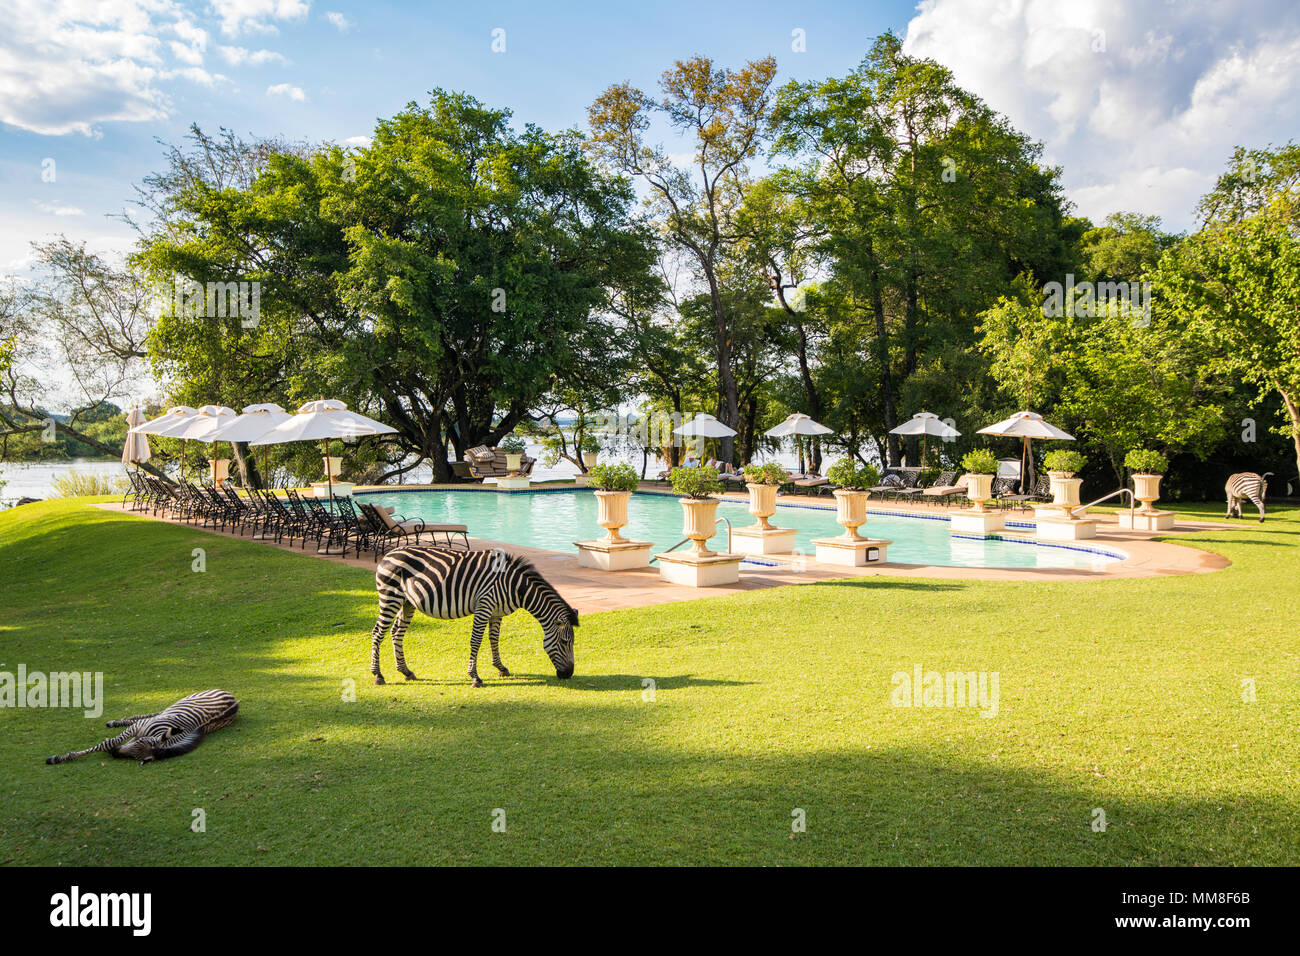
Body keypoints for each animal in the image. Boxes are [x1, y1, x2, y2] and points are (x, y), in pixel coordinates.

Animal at [45, 691, 240, 764]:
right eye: (137, 748)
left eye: (137, 757)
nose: (114, 754)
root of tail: (233, 698)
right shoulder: (136, 729)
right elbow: (108, 743)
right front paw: (58, 758)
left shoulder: (136, 732)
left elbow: (109, 743)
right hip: (181, 701)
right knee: (151, 713)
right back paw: (114, 722)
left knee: (152, 714)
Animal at [377, 546, 579, 686]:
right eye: (564, 642)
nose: (568, 674)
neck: (514, 586)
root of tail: (388, 554)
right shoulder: (484, 605)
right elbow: (476, 640)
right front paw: (474, 677)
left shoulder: (496, 612)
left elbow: (494, 638)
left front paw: (501, 668)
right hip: (390, 597)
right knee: (378, 633)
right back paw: (378, 676)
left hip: (407, 602)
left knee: (396, 633)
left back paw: (406, 672)